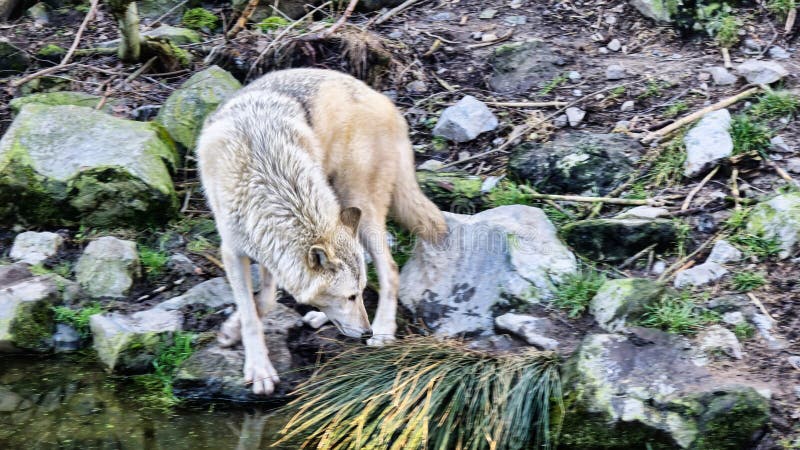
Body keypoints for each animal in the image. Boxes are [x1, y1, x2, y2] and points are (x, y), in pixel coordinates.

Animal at [196, 68, 447, 395]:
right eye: (351, 296)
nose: (365, 332)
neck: (264, 175)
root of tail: (385, 101)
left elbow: (262, 301)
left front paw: (258, 366)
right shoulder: (240, 250)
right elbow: (258, 304)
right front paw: (246, 348)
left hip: (359, 202)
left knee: (391, 269)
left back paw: (383, 329)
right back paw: (325, 319)